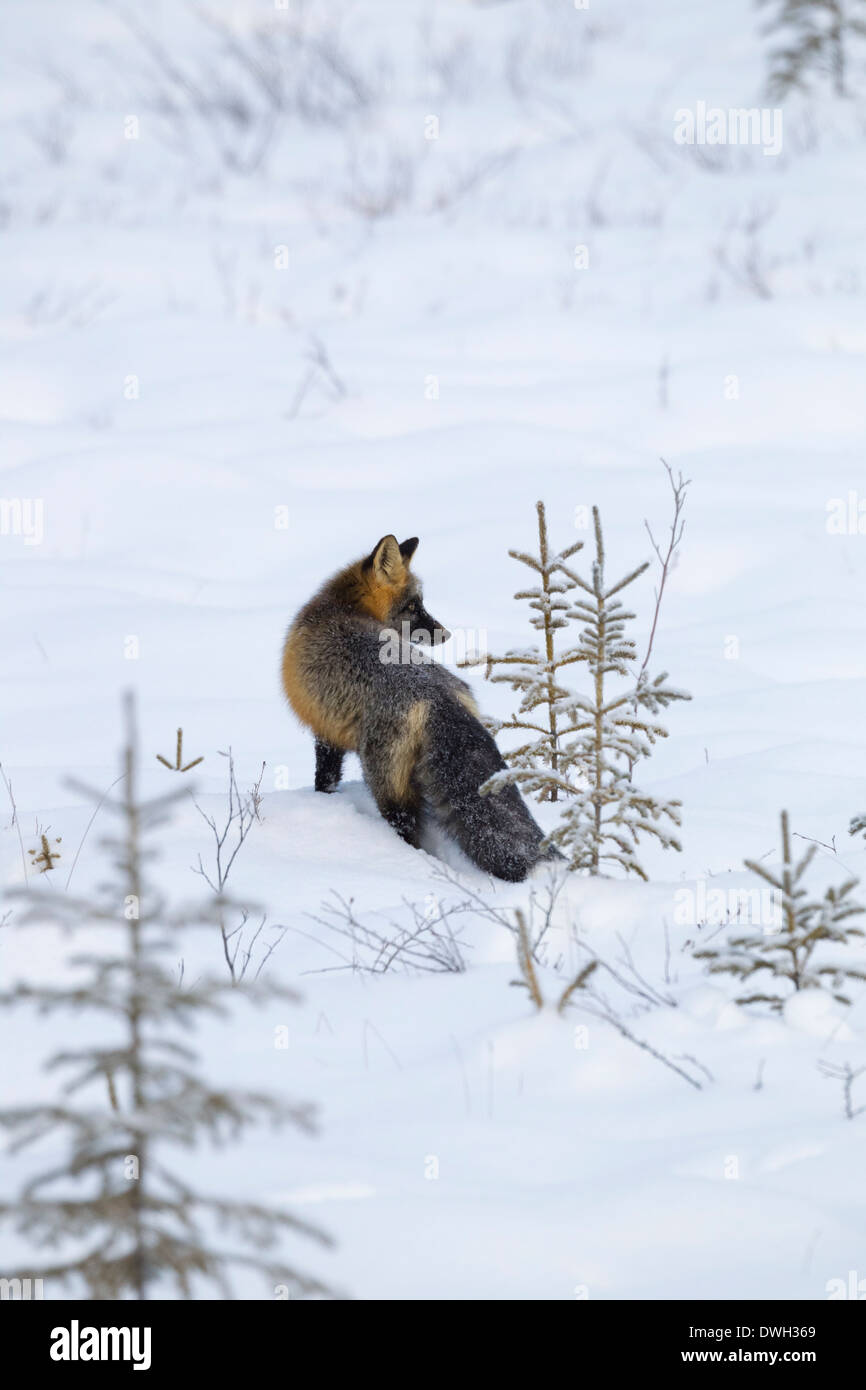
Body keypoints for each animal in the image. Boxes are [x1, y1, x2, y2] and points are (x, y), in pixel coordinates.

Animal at [281, 533, 558, 882]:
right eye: (413, 606)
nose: (446, 633)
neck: (341, 606)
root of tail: (437, 695)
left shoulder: (325, 732)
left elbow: (325, 779)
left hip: (387, 786)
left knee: (407, 830)